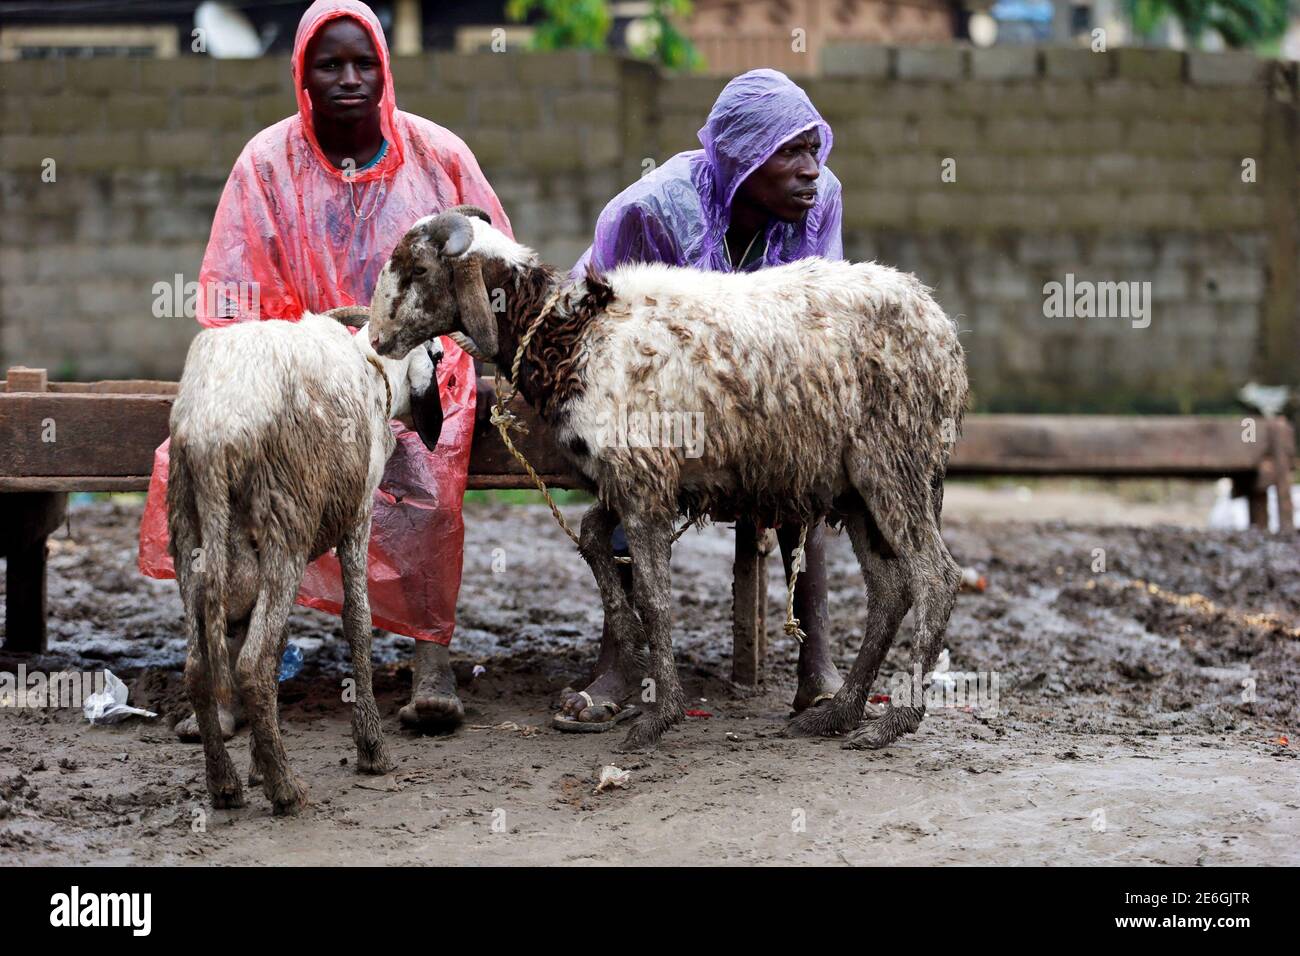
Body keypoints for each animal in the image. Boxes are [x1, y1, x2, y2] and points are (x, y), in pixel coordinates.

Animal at [168, 308, 442, 814]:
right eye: (438, 357)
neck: (374, 369)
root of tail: (213, 432)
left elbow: (278, 645)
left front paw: (257, 764)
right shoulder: (359, 515)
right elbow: (357, 620)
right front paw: (372, 750)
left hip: (189, 534)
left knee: (199, 667)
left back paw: (225, 784)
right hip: (284, 528)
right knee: (251, 666)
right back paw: (286, 790)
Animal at [369, 209, 969, 754]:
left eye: (417, 268)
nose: (376, 339)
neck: (575, 335)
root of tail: (945, 333)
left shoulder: (644, 478)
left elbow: (656, 596)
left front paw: (659, 717)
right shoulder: (631, 479)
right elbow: (592, 538)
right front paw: (628, 641)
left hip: (895, 462)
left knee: (936, 577)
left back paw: (895, 722)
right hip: (855, 489)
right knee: (890, 590)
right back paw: (838, 714)